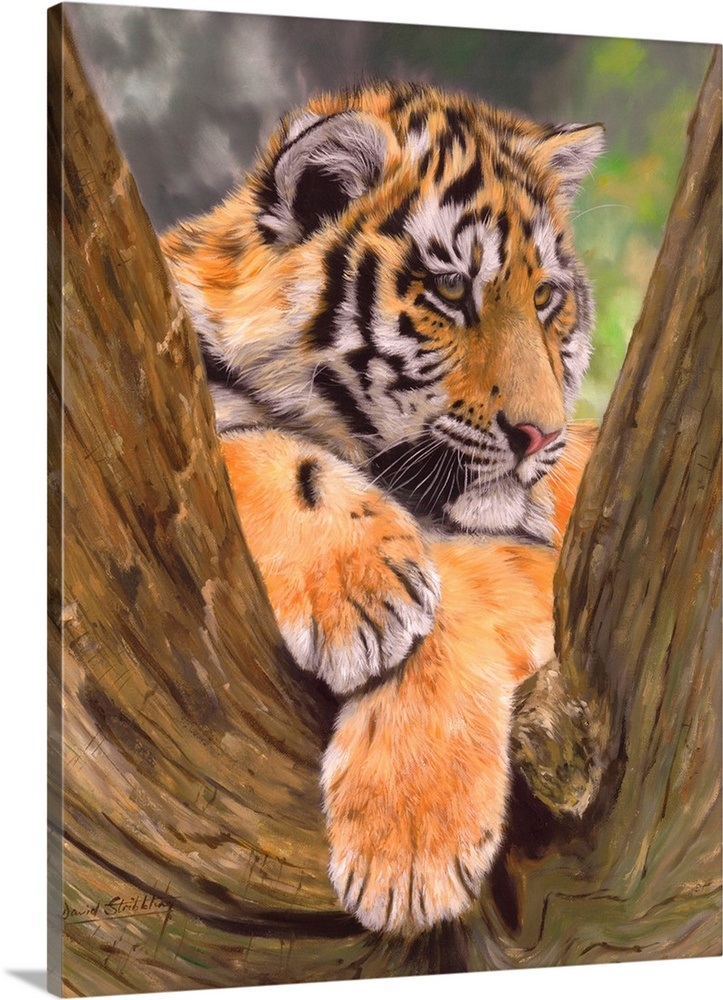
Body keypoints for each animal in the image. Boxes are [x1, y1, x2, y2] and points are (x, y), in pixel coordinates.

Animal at [160, 80, 603, 937]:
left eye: (545, 298)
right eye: (451, 291)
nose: (543, 434)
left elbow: (471, 586)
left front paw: (408, 847)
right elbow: (247, 443)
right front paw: (353, 585)